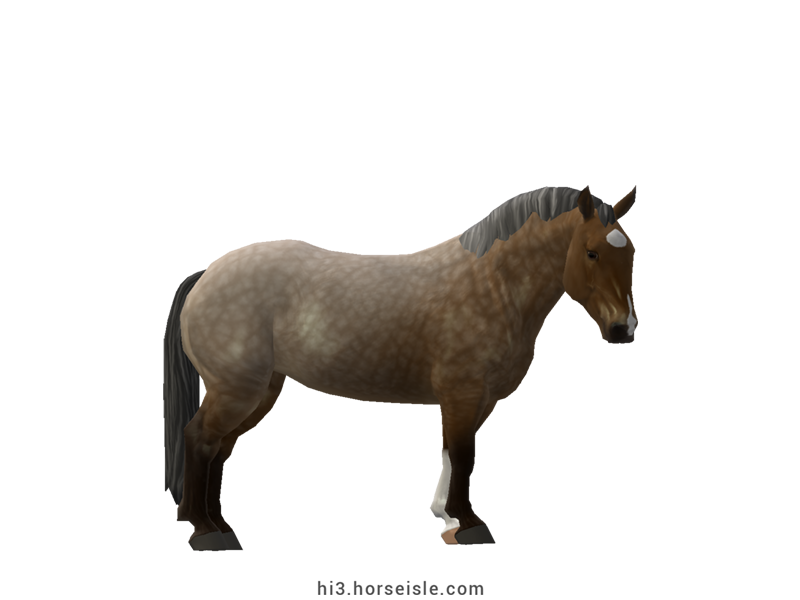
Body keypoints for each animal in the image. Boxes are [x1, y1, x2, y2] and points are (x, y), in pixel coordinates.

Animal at [163, 185, 637, 537]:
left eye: (629, 251)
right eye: (591, 251)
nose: (622, 327)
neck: (494, 283)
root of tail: (206, 276)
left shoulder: (479, 398)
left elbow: (460, 452)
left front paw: (457, 511)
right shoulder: (462, 391)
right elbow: (463, 453)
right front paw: (466, 520)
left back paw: (204, 519)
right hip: (234, 390)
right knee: (199, 439)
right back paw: (205, 526)